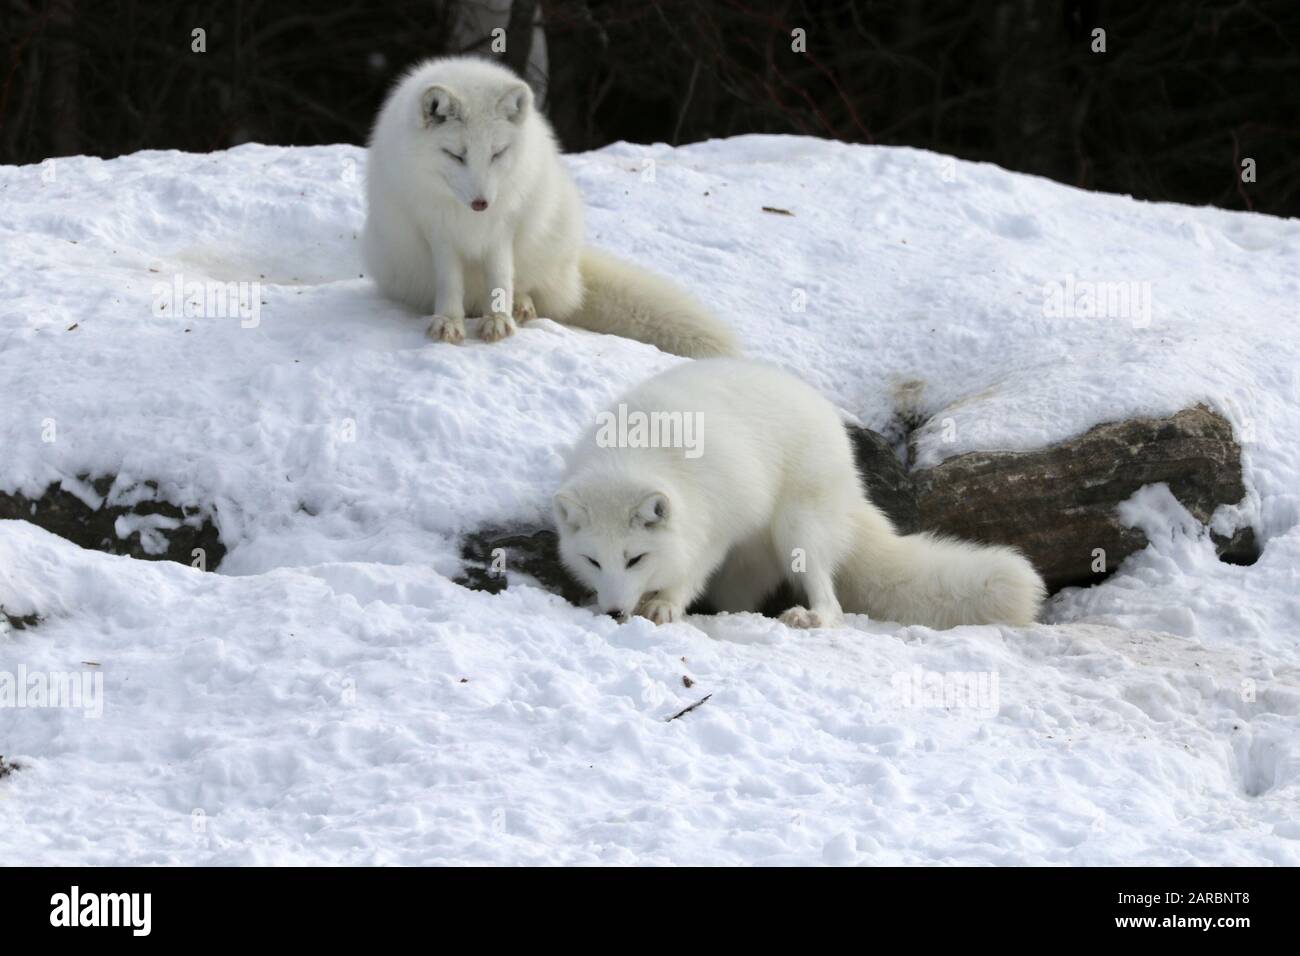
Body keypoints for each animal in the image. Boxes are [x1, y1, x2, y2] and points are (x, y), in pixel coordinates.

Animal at [362, 56, 738, 358]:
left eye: (497, 153)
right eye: (456, 155)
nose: (481, 203)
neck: (469, 219)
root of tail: (572, 270)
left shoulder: (503, 228)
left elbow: (501, 276)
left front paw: (499, 320)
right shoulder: (437, 230)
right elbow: (449, 281)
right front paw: (448, 323)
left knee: (534, 289)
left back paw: (520, 306)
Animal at [553, 359, 1046, 630]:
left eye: (636, 558)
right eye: (592, 561)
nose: (614, 612)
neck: (636, 453)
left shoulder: (715, 524)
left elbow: (690, 569)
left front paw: (665, 604)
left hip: (798, 530)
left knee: (833, 602)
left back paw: (811, 618)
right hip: (753, 561)